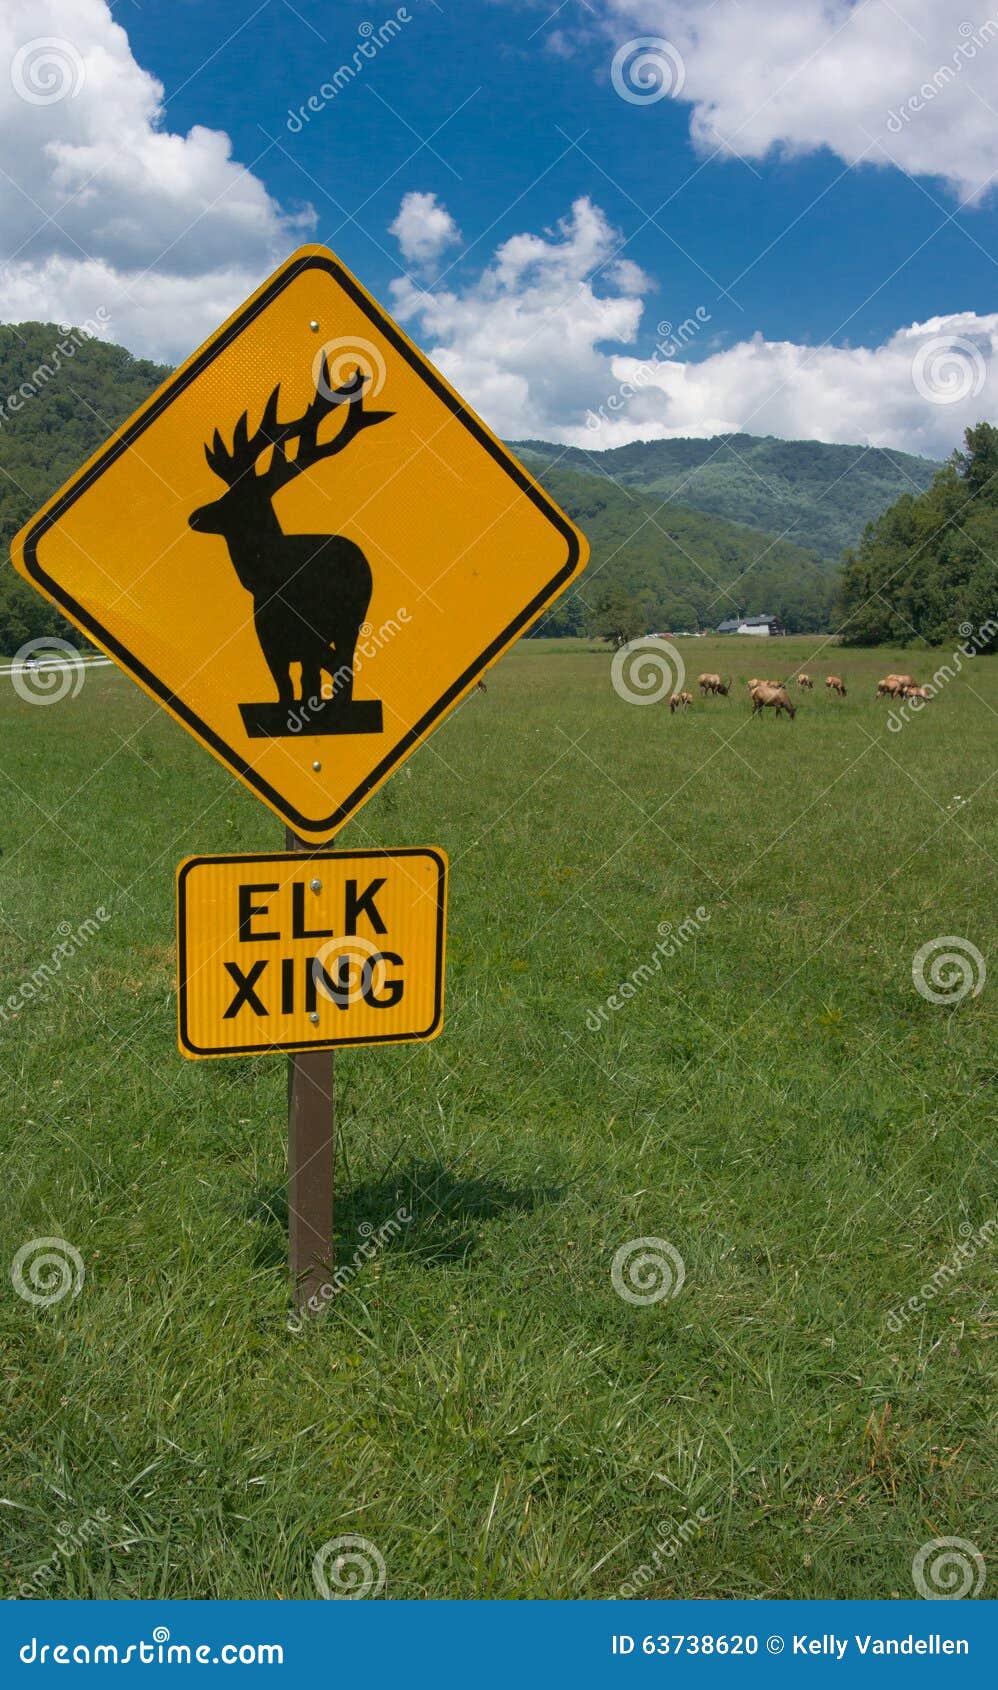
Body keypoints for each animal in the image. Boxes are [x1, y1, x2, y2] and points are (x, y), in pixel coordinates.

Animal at [189, 360, 391, 710]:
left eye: (232, 500)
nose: (194, 516)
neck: (268, 582)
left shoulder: (308, 639)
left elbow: (308, 682)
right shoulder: (269, 643)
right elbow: (285, 687)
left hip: (351, 620)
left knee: (345, 665)